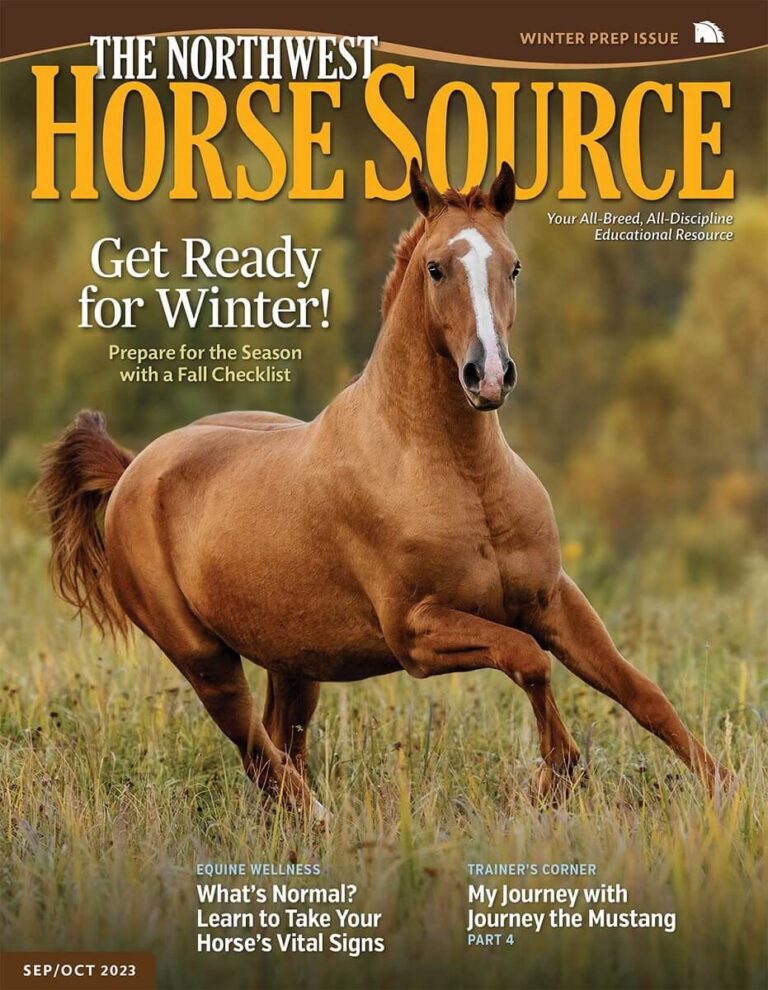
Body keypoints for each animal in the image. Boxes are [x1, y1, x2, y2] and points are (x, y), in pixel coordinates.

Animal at [35, 161, 731, 819]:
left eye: (513, 266)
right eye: (435, 268)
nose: (489, 375)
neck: (460, 476)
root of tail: (132, 470)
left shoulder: (553, 599)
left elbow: (640, 691)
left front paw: (724, 787)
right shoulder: (417, 632)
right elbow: (528, 658)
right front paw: (556, 773)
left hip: (294, 665)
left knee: (278, 747)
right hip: (204, 660)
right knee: (259, 755)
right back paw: (321, 819)